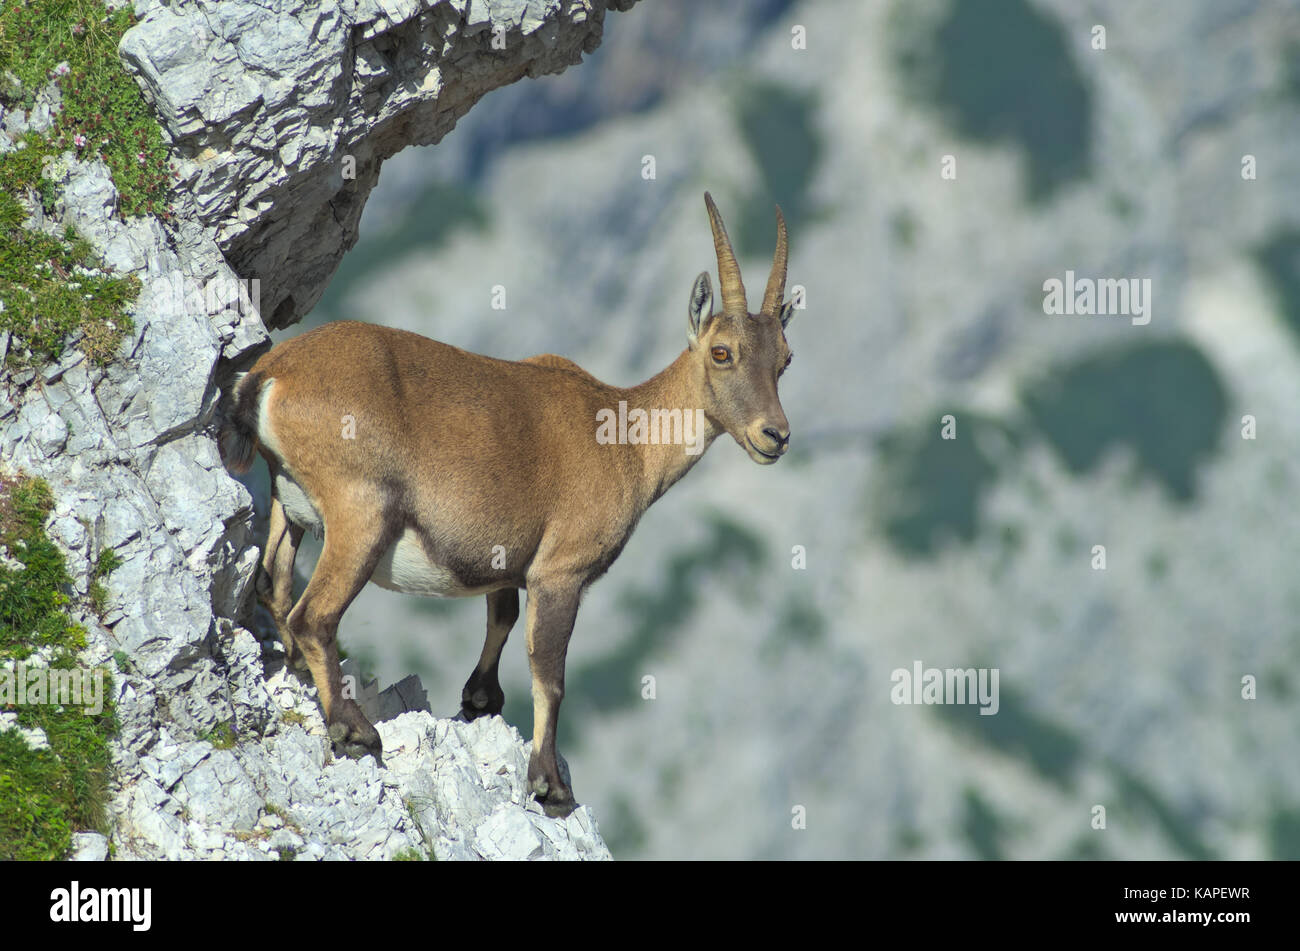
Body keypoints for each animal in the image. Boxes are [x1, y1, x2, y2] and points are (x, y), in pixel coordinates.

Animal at [219, 192, 797, 816]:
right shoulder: (559, 571)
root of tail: (271, 375)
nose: (775, 436)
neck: (628, 439)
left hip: (290, 504)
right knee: (315, 613)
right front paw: (550, 784)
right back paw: (354, 731)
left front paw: (479, 698)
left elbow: (502, 616)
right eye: (722, 352)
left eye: (785, 358)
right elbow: (550, 674)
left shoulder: (504, 555)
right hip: (361, 511)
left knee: (274, 583)